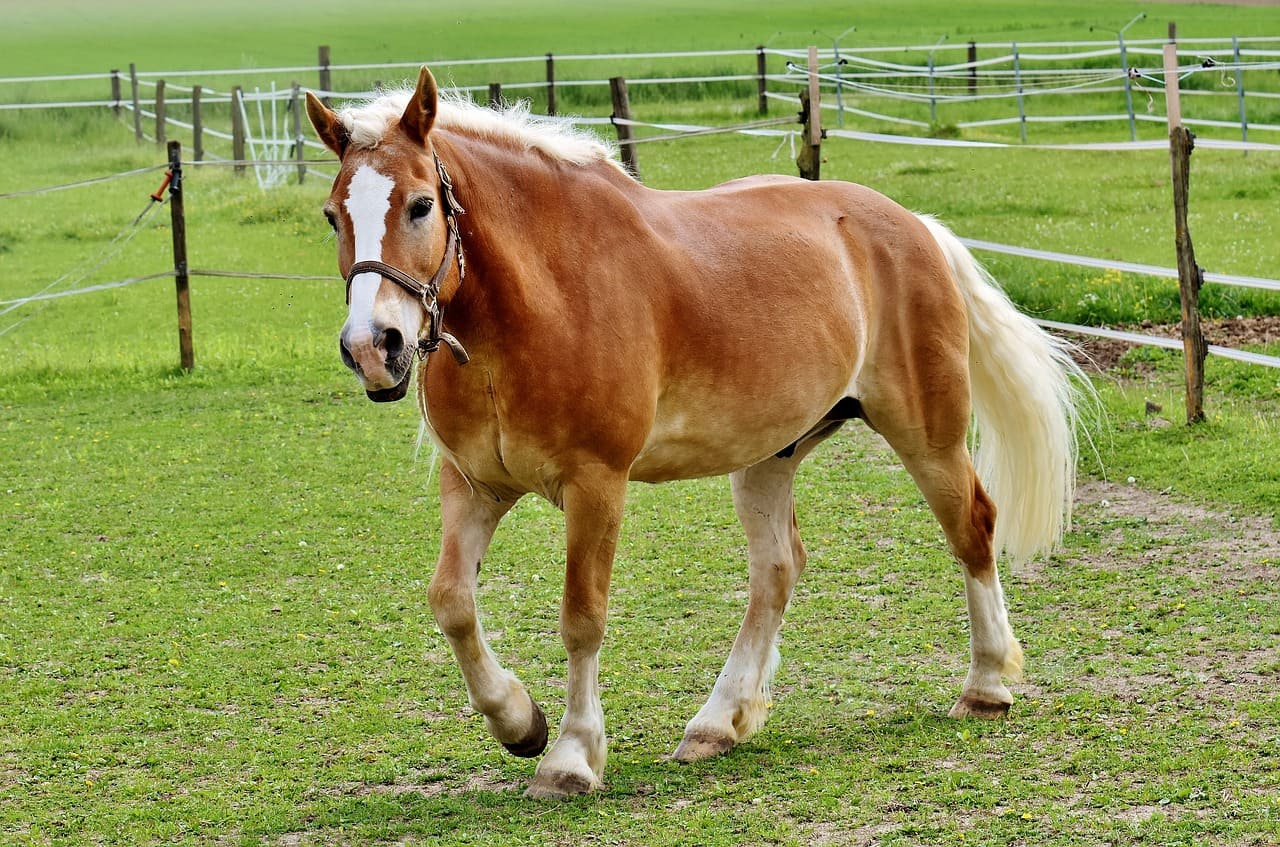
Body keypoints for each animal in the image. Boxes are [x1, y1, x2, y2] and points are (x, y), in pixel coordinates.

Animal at [304, 67, 1085, 799]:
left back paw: (986, 685)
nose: (374, 346)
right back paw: (719, 722)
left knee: (972, 527)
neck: (532, 304)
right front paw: (518, 721)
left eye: (420, 204)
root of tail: (916, 225)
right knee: (778, 571)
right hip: (771, 454)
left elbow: (582, 615)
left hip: (928, 435)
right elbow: (451, 602)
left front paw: (571, 755)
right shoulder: (474, 486)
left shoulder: (596, 483)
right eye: (332, 215)